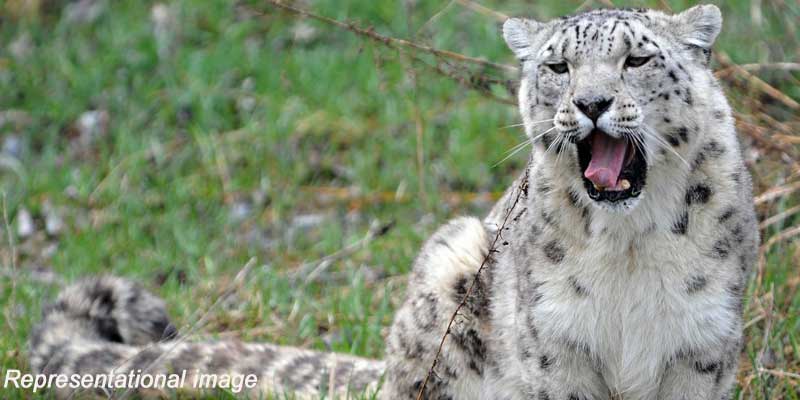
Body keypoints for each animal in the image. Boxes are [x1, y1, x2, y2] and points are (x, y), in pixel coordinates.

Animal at [27, 4, 759, 400]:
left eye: (637, 59)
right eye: (558, 67)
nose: (592, 102)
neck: (629, 248)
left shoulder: (699, 347)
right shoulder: (559, 350)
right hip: (448, 269)